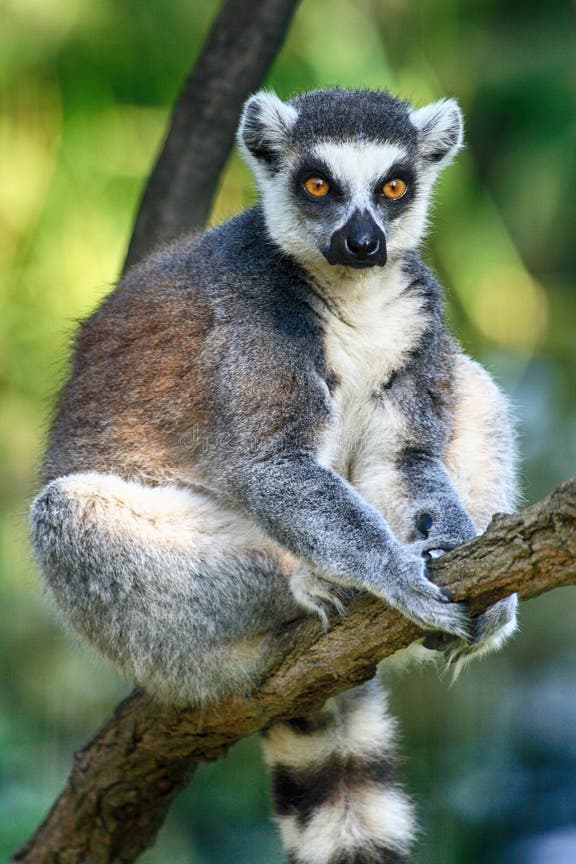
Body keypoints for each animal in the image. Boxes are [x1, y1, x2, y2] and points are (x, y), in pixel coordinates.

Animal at [31, 88, 519, 863]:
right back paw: (304, 589)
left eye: (394, 188)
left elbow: (406, 461)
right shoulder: (255, 329)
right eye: (318, 185)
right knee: (68, 517)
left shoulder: (416, 323)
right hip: (164, 643)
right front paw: (395, 575)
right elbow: (272, 466)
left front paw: (455, 553)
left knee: (471, 384)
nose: (364, 243)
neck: (355, 295)